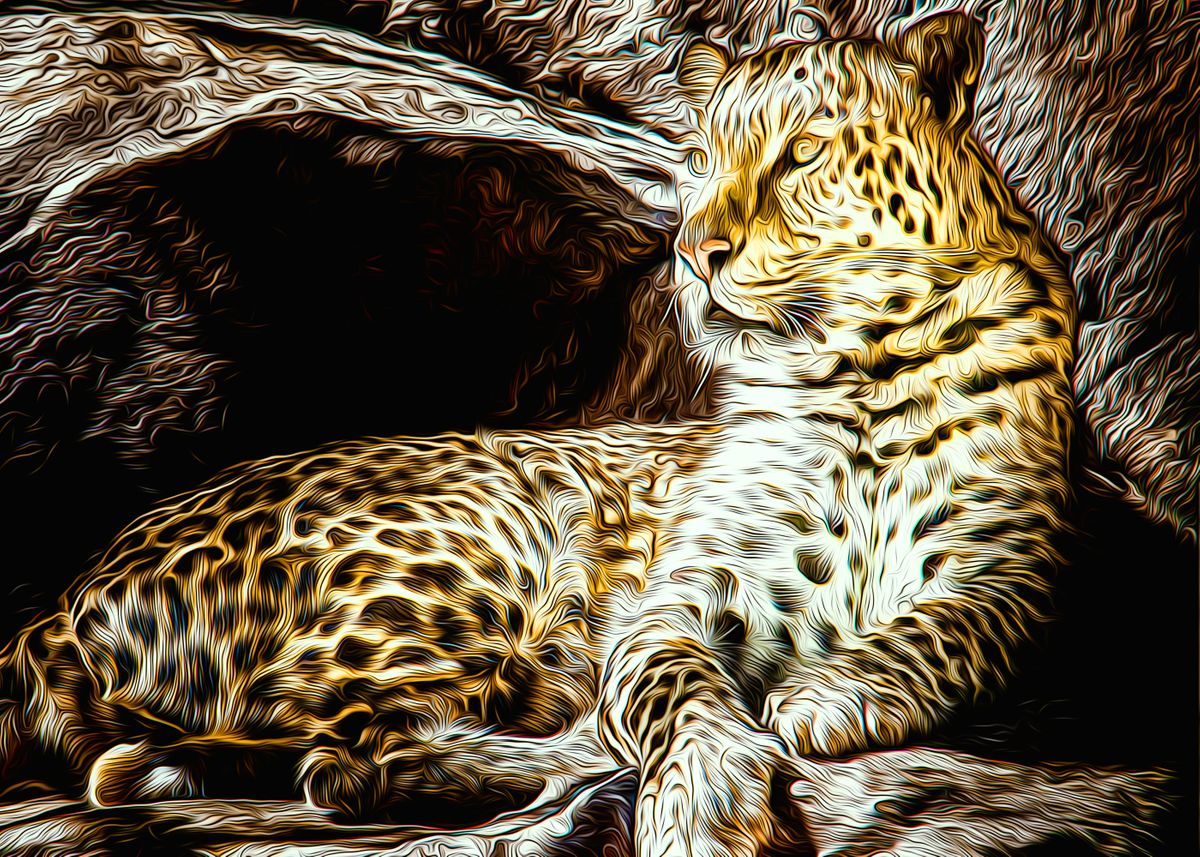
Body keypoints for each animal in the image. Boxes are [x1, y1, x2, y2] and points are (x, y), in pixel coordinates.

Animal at [0, 13, 1076, 856]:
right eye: (698, 161)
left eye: (802, 154)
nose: (694, 249)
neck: (857, 374)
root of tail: (62, 604)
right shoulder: (676, 603)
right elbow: (680, 696)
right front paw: (706, 807)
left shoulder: (1009, 581)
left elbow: (944, 632)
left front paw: (834, 691)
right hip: (475, 547)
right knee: (350, 759)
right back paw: (561, 752)